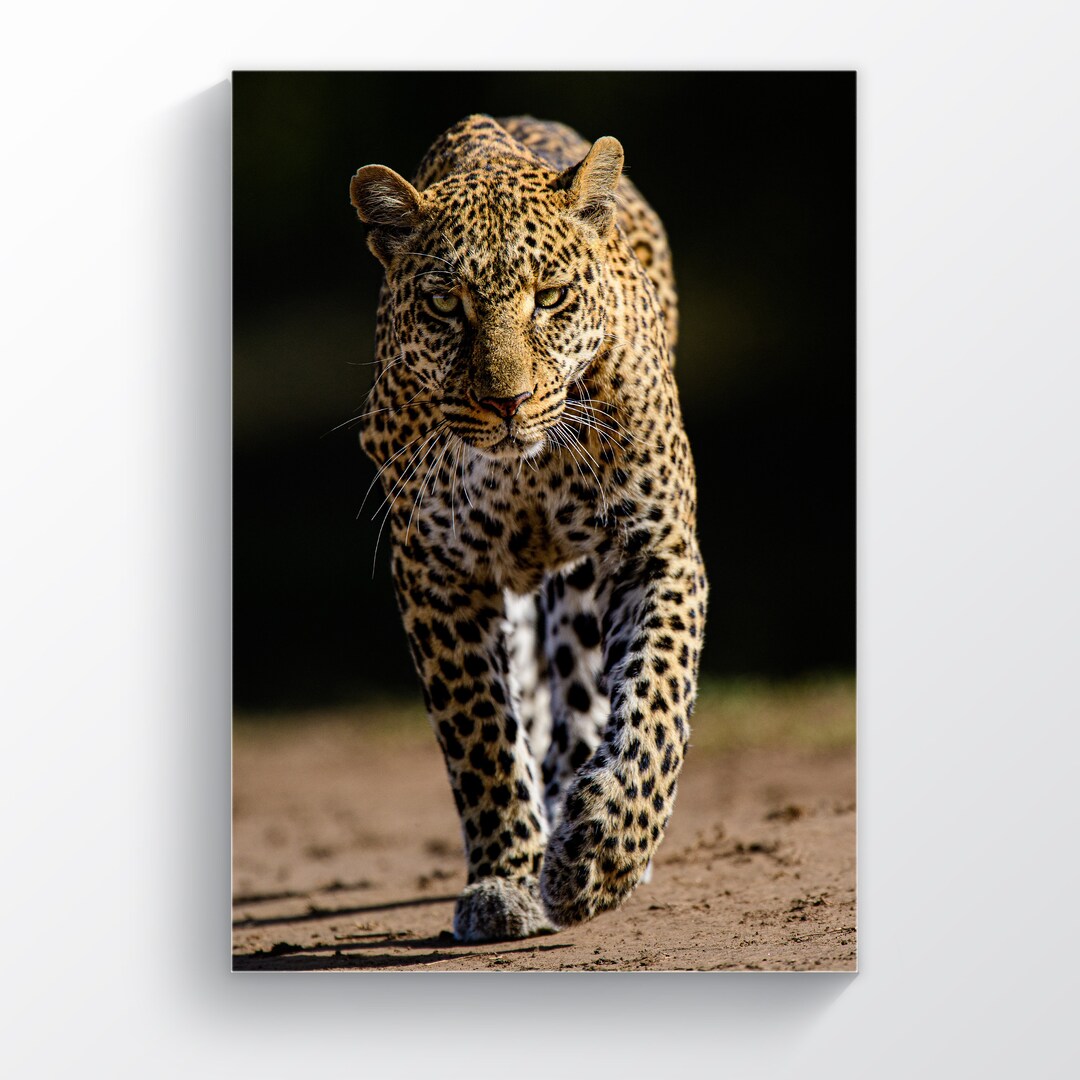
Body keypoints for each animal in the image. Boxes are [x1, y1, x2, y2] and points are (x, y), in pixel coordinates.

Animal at [348, 114, 707, 942]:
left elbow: (655, 704)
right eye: (446, 305)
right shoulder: (437, 573)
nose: (506, 402)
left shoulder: (656, 550)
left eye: (550, 298)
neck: (525, 471)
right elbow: (481, 733)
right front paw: (505, 881)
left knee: (583, 700)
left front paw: (603, 855)